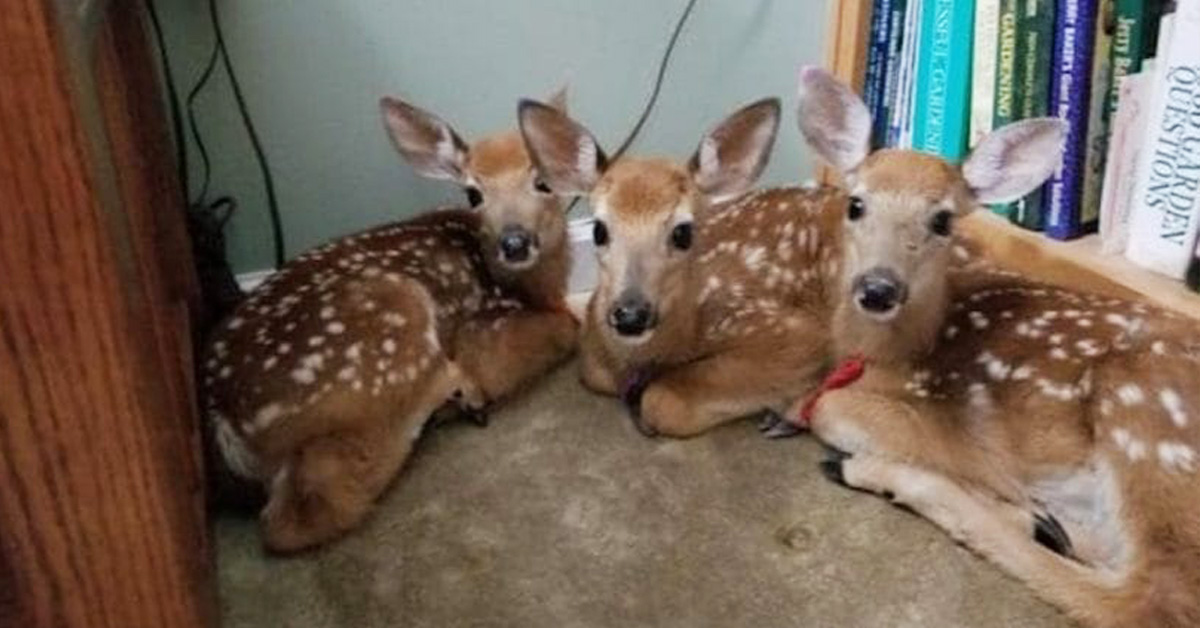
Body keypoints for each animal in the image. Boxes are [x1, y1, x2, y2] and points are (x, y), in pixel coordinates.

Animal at [200, 90, 579, 552]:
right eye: (473, 193)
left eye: (542, 182)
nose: (514, 242)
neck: (534, 288)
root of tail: (224, 414)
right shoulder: (486, 326)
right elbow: (565, 331)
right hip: (389, 334)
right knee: (303, 512)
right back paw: (452, 405)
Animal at [517, 96, 844, 438]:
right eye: (599, 230)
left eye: (682, 232)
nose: (630, 314)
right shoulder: (595, 350)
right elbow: (594, 372)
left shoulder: (784, 329)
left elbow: (660, 402)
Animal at [793, 66, 1200, 627]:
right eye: (857, 204)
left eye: (942, 220)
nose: (877, 288)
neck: (896, 356)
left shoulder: (955, 431)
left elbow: (828, 407)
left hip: (1145, 414)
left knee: (1148, 598)